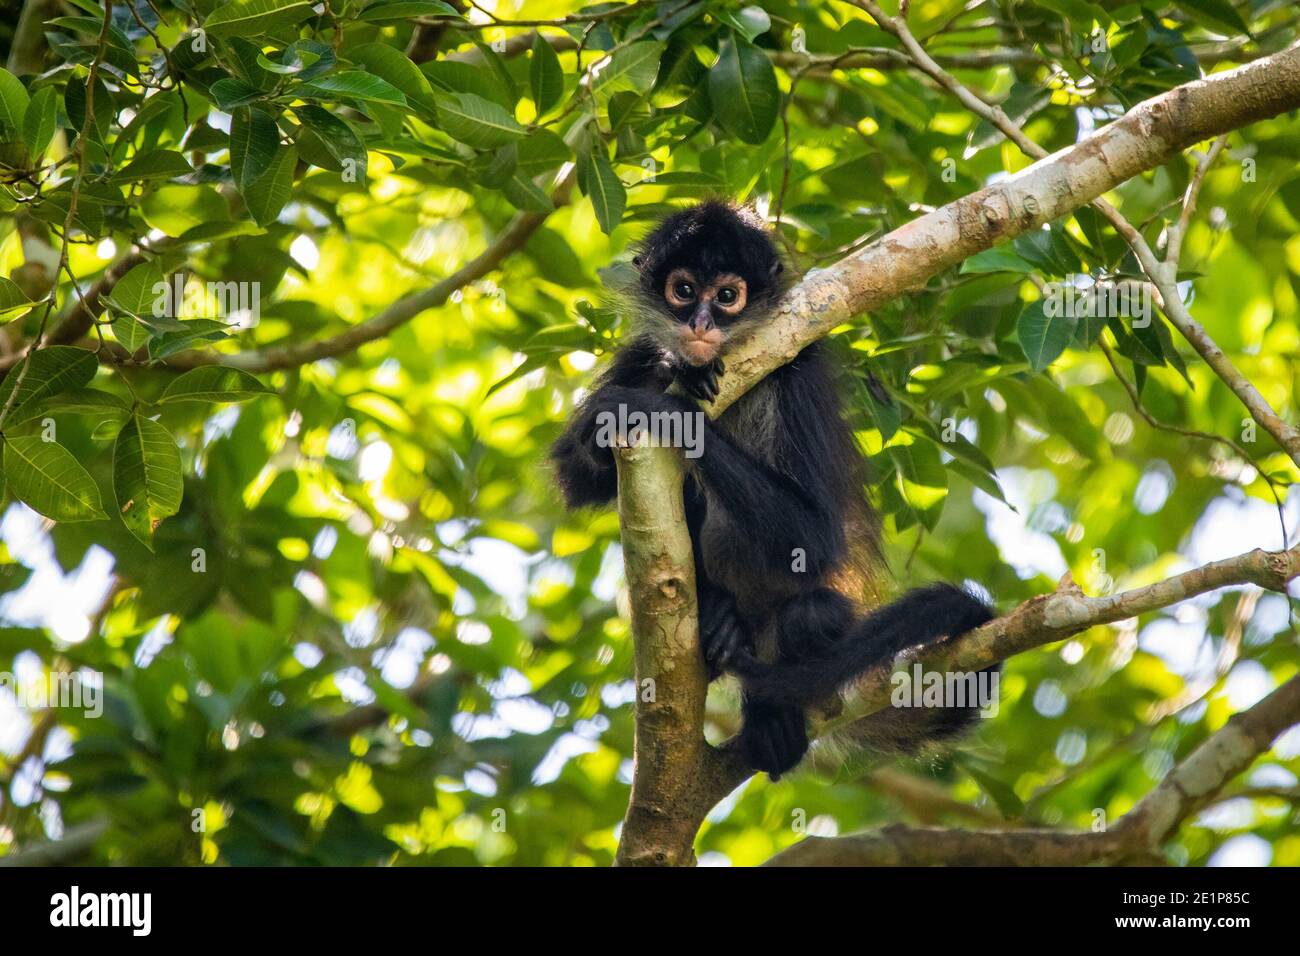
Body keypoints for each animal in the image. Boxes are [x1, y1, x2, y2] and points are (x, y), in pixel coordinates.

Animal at [551, 200, 996, 779]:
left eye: (726, 296)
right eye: (683, 289)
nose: (699, 325)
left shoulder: (795, 367)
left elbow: (816, 537)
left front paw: (661, 405)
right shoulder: (641, 348)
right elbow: (575, 476)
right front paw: (672, 370)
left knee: (811, 615)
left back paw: (768, 706)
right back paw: (718, 614)